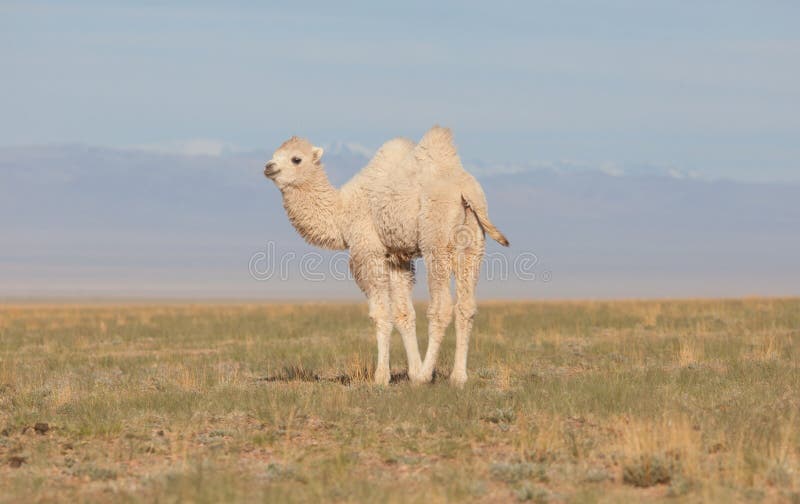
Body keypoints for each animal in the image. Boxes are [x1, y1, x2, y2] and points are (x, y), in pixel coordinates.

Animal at [263, 126, 508, 386]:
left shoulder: (368, 251)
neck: (341, 212)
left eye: (296, 159)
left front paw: (383, 376)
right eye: (275, 153)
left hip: (436, 239)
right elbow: (403, 313)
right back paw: (458, 377)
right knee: (466, 306)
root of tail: (466, 191)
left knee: (441, 307)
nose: (268, 167)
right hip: (473, 242)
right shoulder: (397, 258)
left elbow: (381, 314)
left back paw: (426, 375)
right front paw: (412, 371)